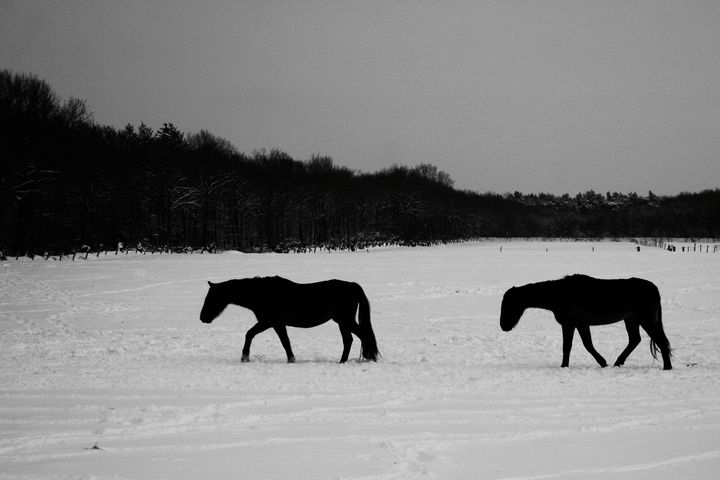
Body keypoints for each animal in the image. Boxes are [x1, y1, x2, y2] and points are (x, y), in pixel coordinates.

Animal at [200, 276, 379, 363]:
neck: (262, 293)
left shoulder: (271, 322)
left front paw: (245, 357)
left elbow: (251, 334)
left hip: (345, 320)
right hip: (342, 322)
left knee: (362, 336)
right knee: (349, 340)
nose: (202, 318)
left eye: (212, 298)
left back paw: (368, 358)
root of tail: (352, 285)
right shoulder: (276, 324)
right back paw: (343, 361)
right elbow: (284, 341)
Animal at [499, 274, 672, 370]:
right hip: (631, 319)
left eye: (509, 305)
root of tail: (654, 289)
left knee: (661, 341)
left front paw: (564, 366)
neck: (559, 294)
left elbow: (571, 346)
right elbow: (585, 345)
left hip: (646, 319)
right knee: (635, 340)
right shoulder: (579, 324)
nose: (503, 326)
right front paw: (603, 363)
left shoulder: (571, 324)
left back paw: (667, 367)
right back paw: (618, 362)